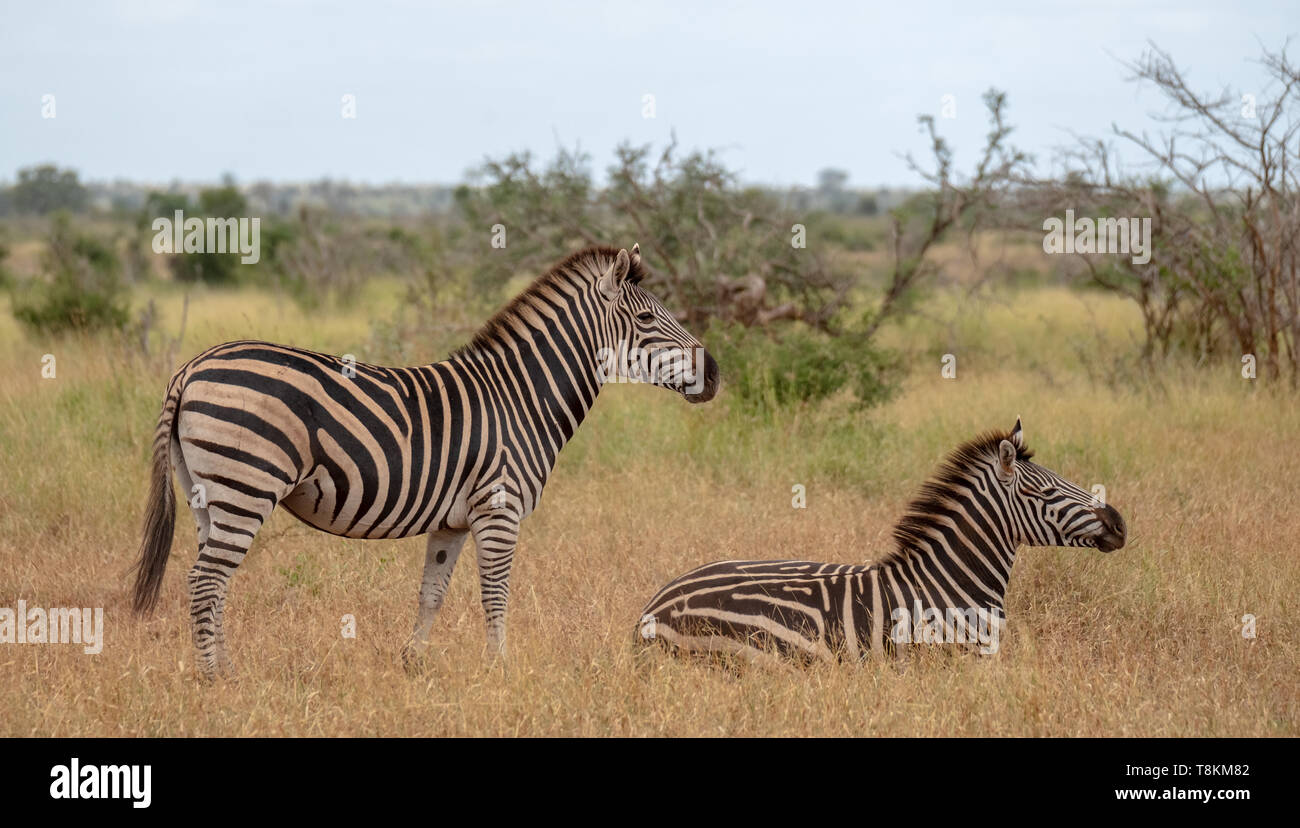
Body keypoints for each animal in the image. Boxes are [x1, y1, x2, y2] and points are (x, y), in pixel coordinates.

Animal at [131, 244, 719, 678]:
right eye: (646, 317)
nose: (714, 374)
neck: (522, 397)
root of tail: (191, 367)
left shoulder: (453, 521)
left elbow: (431, 593)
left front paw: (412, 663)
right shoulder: (498, 510)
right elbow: (495, 594)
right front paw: (500, 670)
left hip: (209, 494)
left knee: (210, 583)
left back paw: (225, 667)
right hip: (245, 486)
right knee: (206, 581)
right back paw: (217, 679)